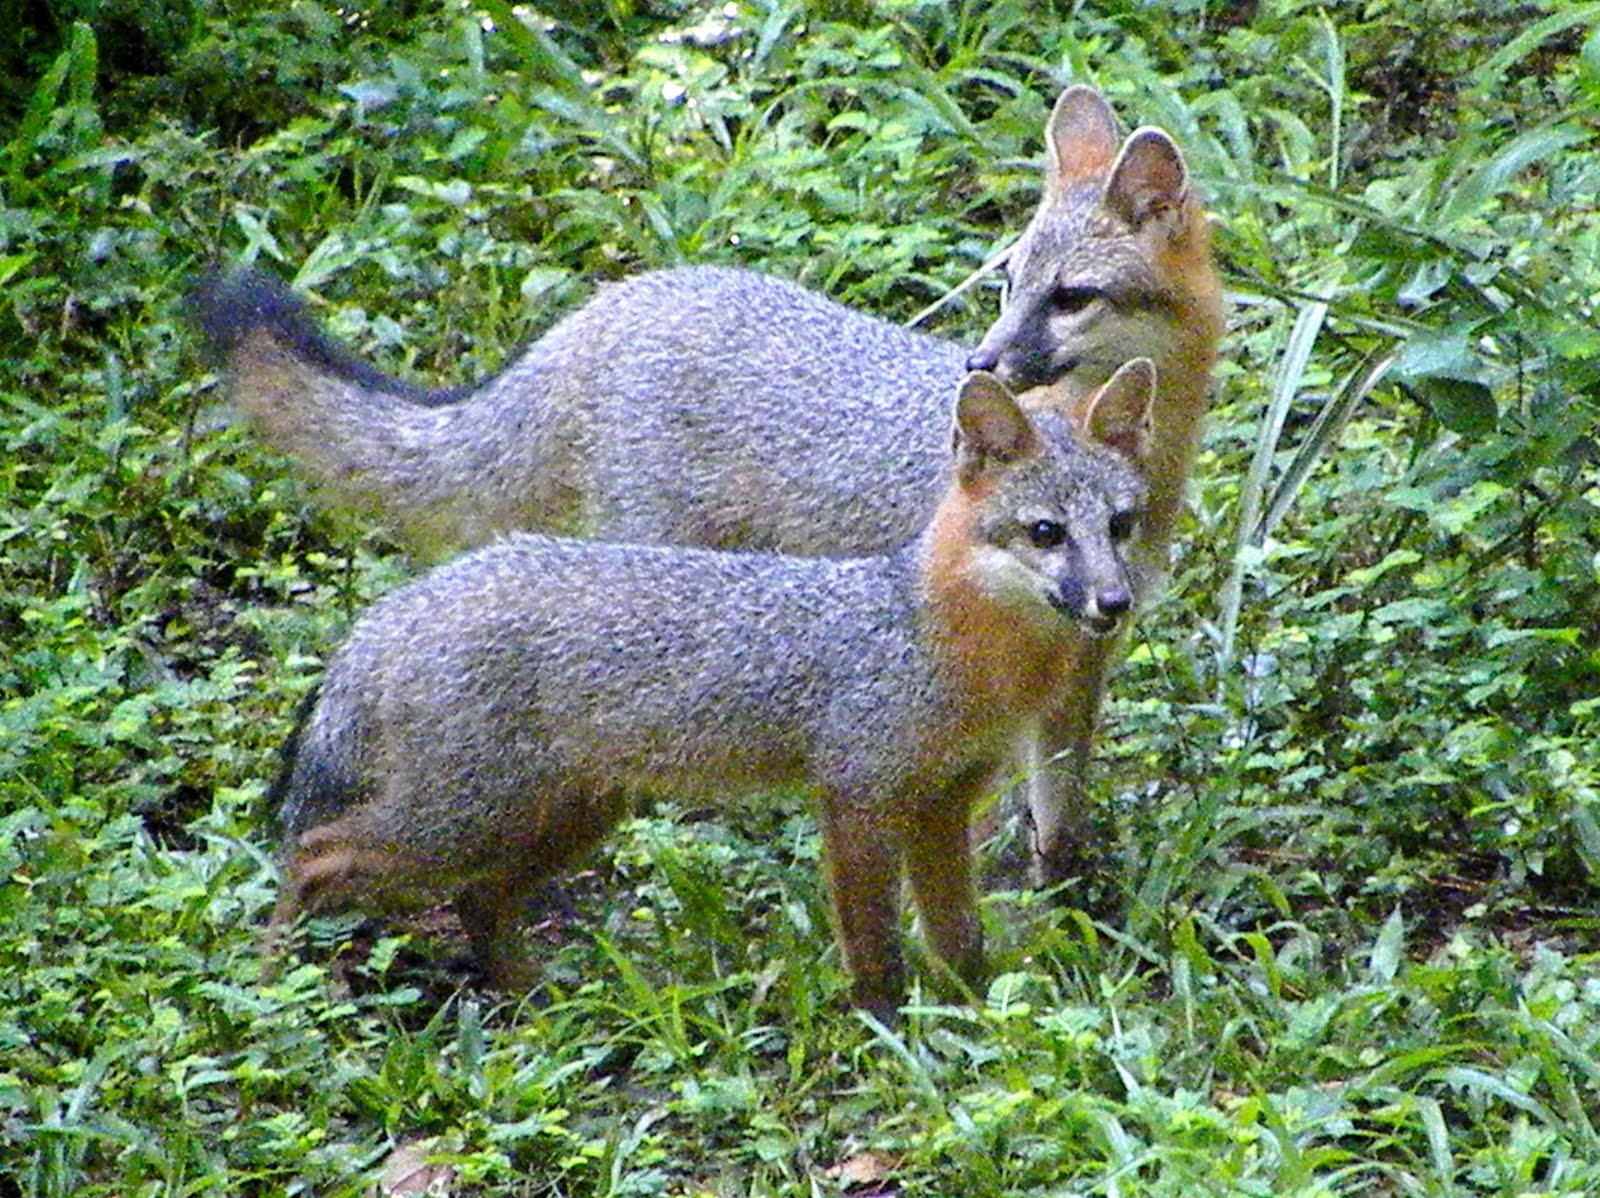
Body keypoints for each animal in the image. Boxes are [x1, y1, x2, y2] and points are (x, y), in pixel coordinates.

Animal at [193, 85, 1224, 886]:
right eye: (1007, 285)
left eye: (1069, 297)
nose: (981, 361)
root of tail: (621, 301)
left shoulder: (1081, 661)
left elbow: (1061, 797)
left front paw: (1069, 885)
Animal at [263, 361, 1159, 1019]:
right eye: (1046, 533)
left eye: (1120, 526)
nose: (1114, 603)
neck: (932, 634)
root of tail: (403, 604)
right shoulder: (857, 798)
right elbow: (873, 943)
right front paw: (887, 1029)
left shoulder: (942, 806)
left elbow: (958, 936)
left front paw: (974, 1014)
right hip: (461, 819)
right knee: (313, 853)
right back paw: (276, 983)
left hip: (562, 817)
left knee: (478, 902)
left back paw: (539, 1005)